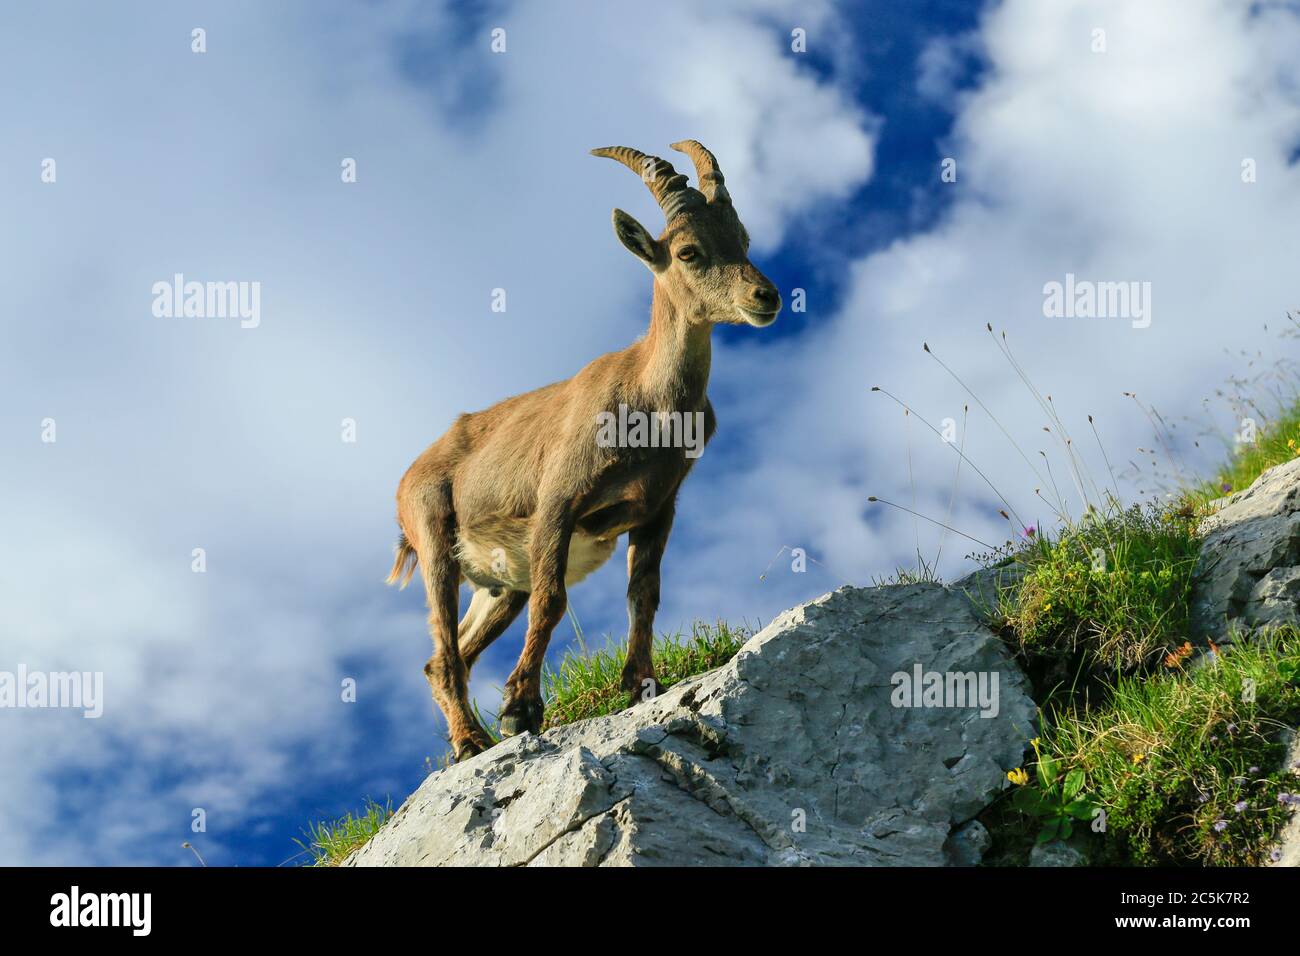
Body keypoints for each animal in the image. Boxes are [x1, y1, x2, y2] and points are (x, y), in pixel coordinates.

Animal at [387, 141, 781, 761]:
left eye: (741, 240)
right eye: (689, 252)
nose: (766, 297)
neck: (652, 405)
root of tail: (409, 473)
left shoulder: (658, 509)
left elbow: (644, 593)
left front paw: (641, 684)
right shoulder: (559, 499)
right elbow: (553, 600)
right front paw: (520, 711)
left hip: (499, 585)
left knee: (445, 655)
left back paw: (466, 738)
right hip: (433, 539)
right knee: (445, 648)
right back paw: (471, 741)